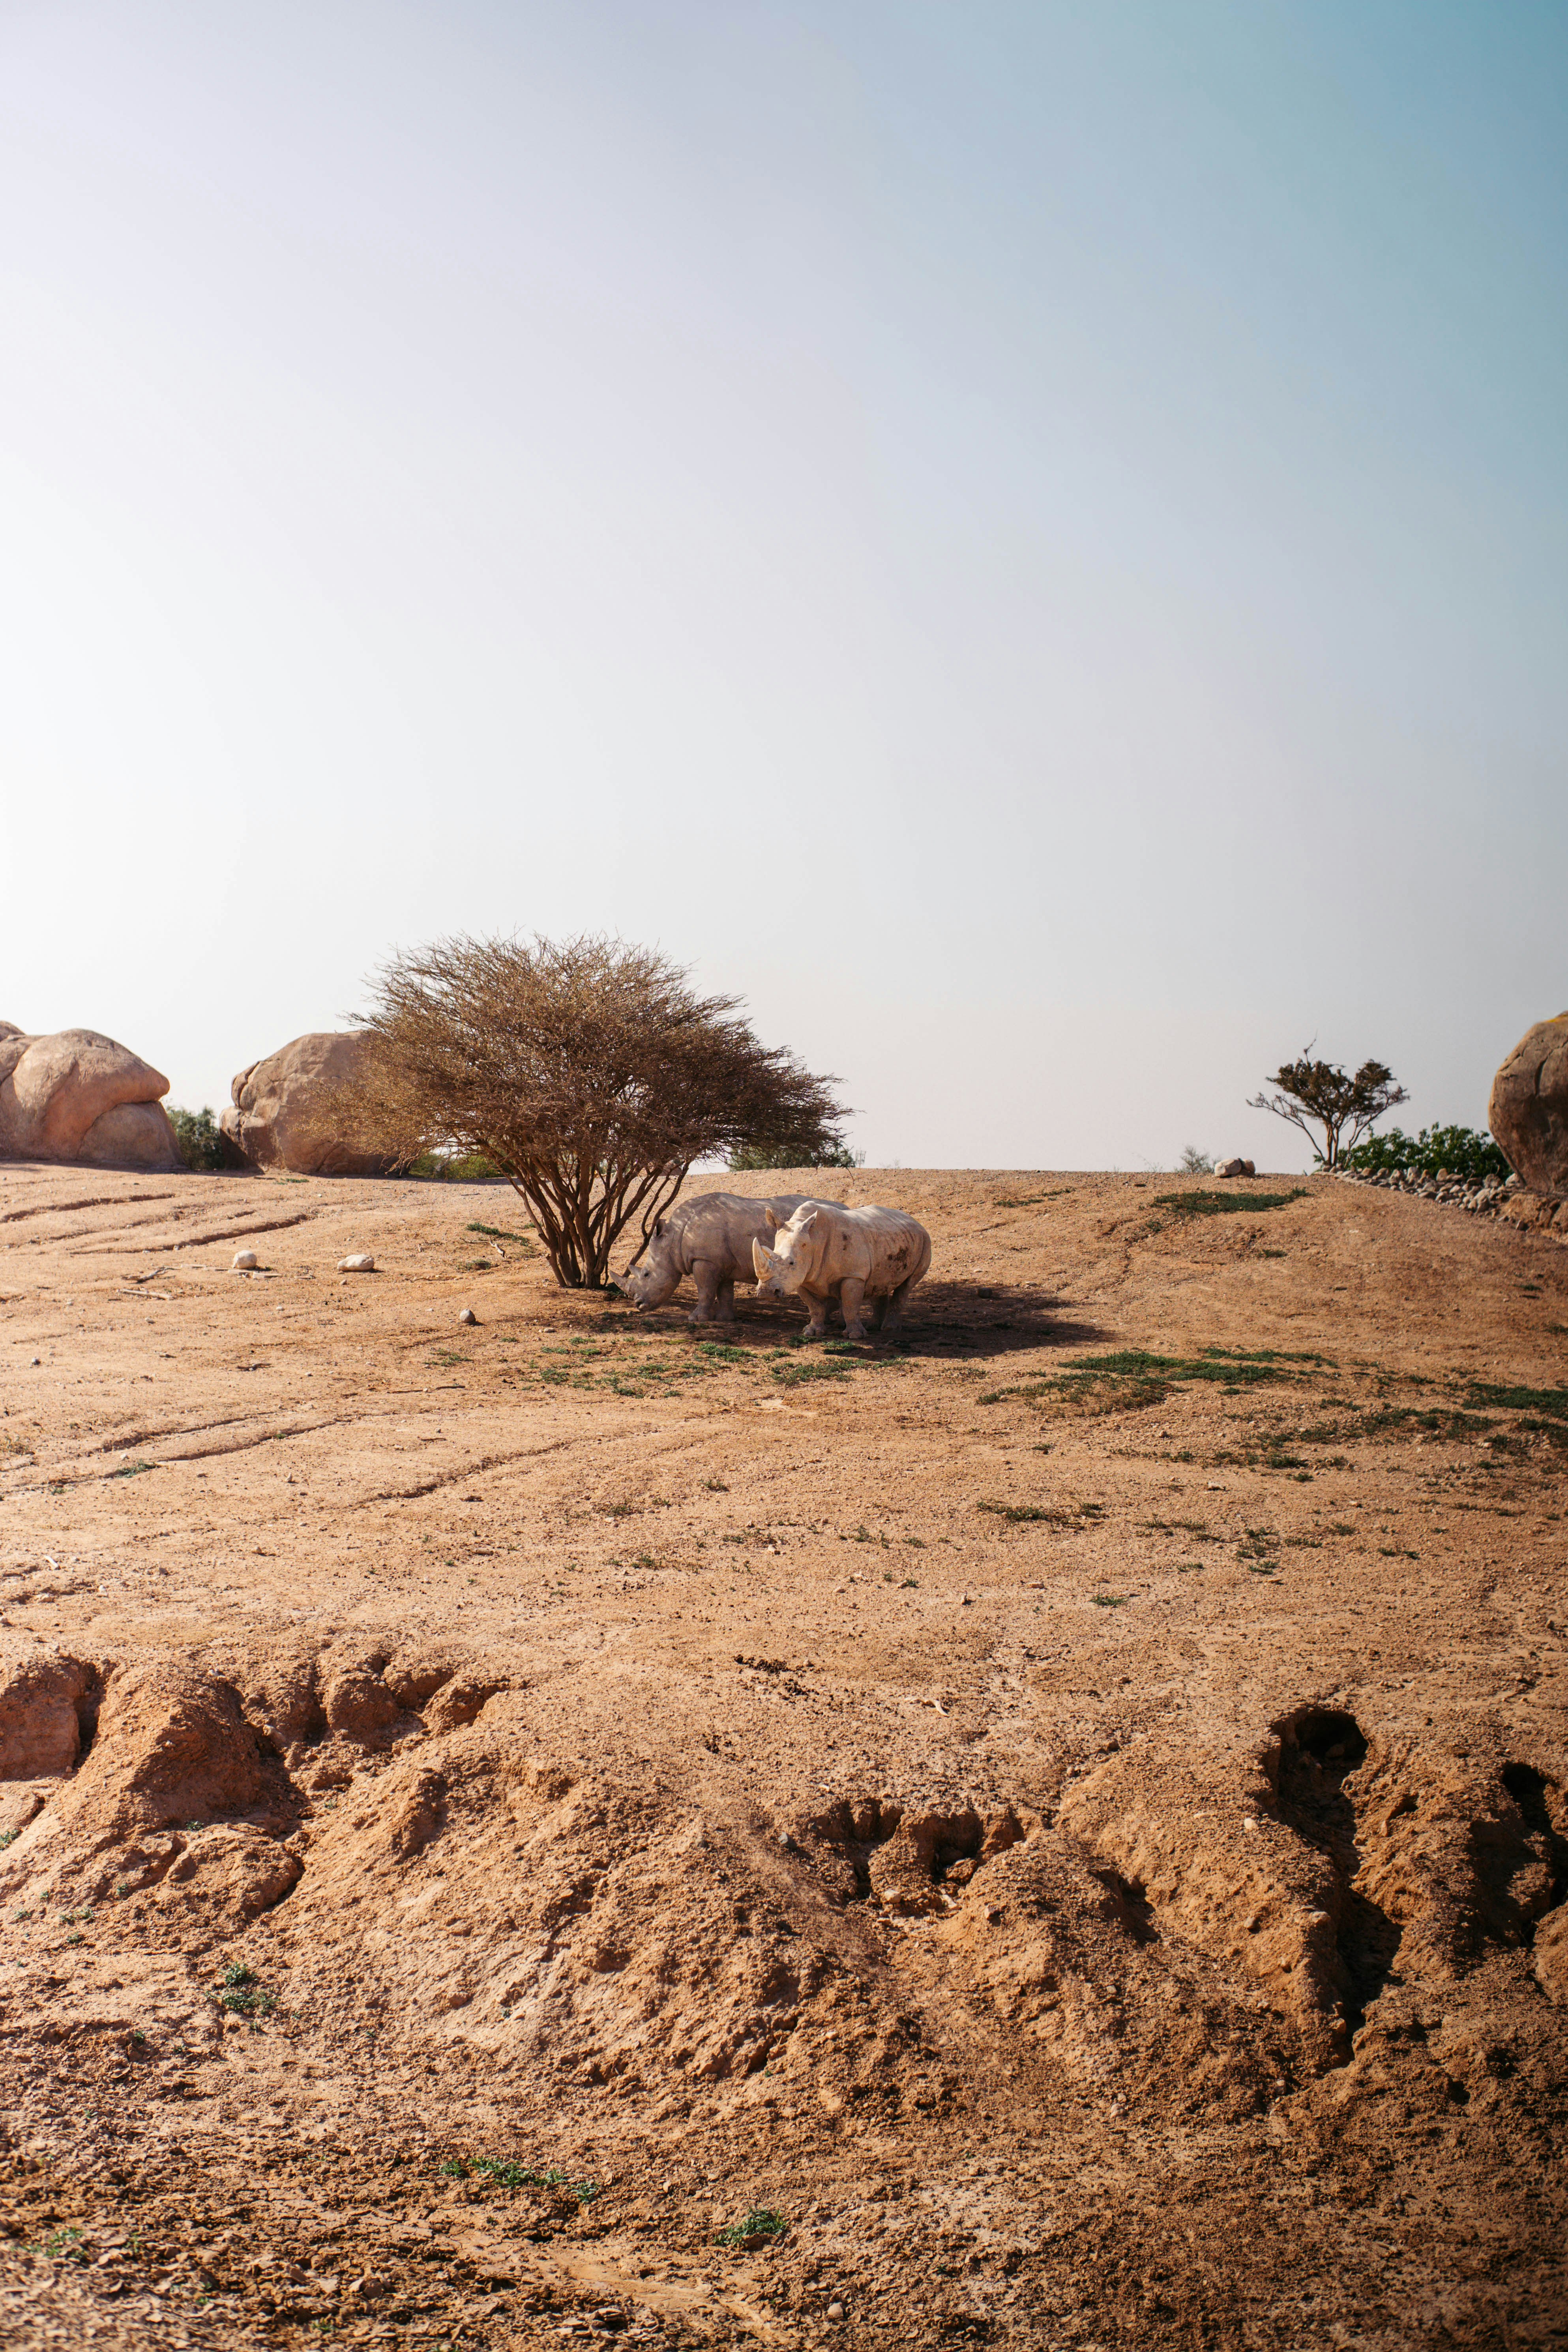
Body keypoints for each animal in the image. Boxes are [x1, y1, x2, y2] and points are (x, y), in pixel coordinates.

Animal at [612, 1191, 842, 1324]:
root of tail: (845, 1208)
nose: (638, 1305)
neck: (672, 1239)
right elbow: (725, 1292)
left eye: (647, 1275)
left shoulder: (704, 1260)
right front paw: (726, 1319)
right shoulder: (722, 1262)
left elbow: (705, 1290)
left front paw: (697, 1319)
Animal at [750, 1200, 931, 1341]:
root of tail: (913, 1220)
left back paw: (889, 1329)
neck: (813, 1240)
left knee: (907, 1286)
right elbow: (814, 1307)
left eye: (792, 1263)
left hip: (925, 1240)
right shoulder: (803, 1277)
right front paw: (812, 1332)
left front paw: (855, 1336)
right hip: (891, 1239)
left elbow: (851, 1304)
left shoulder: (853, 1275)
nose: (766, 1293)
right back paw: (872, 1326)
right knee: (879, 1281)